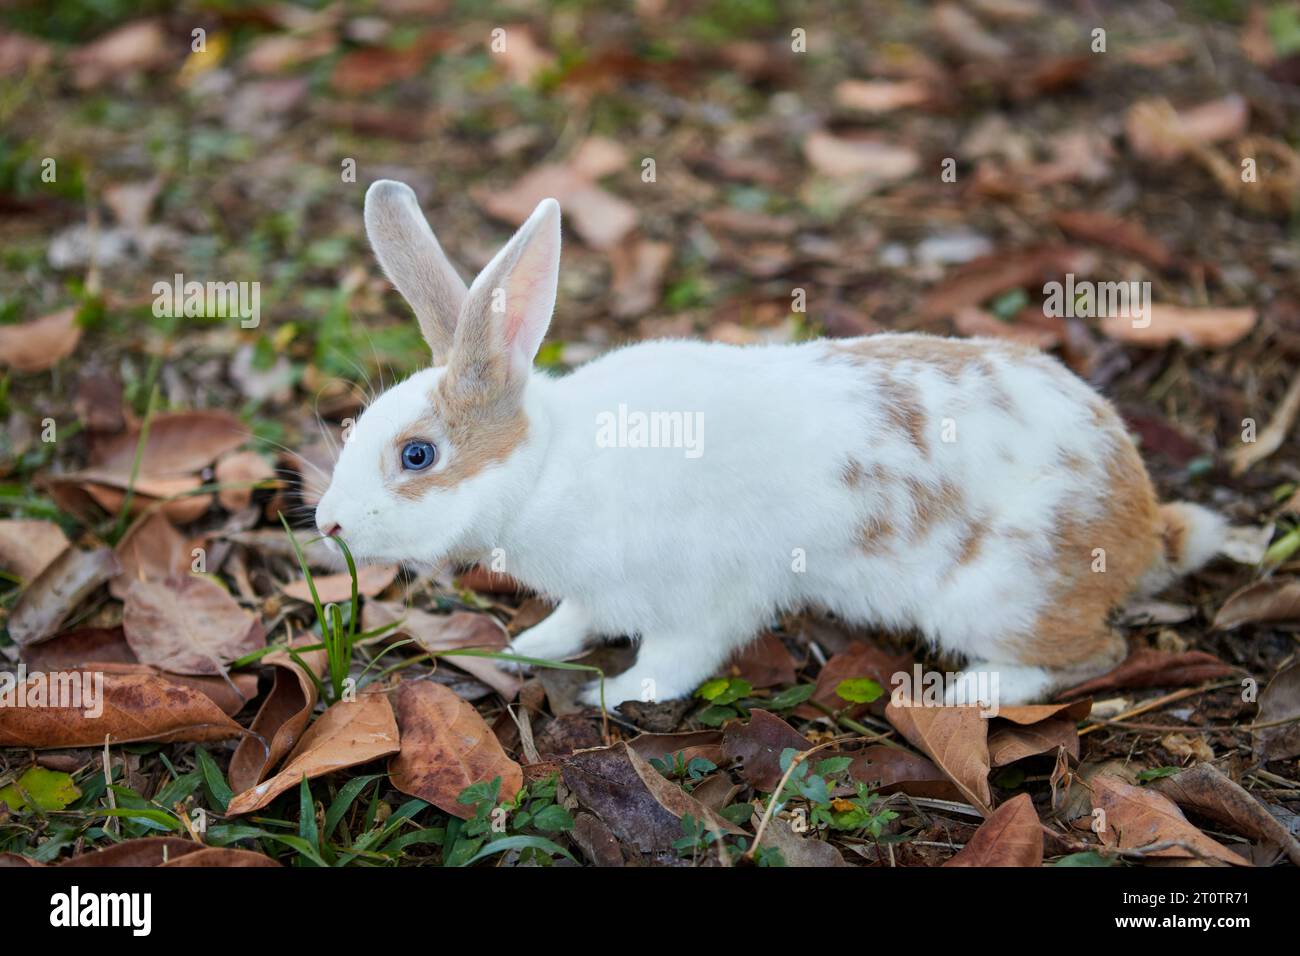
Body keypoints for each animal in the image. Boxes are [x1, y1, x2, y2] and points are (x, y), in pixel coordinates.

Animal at [314, 179, 1229, 709]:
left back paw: (966, 693)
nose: (326, 524)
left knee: (1095, 653)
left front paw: (617, 696)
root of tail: (1142, 524)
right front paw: (532, 647)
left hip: (997, 597)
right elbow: (578, 617)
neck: (547, 469)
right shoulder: (598, 592)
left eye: (417, 455)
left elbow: (679, 659)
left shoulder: (704, 599)